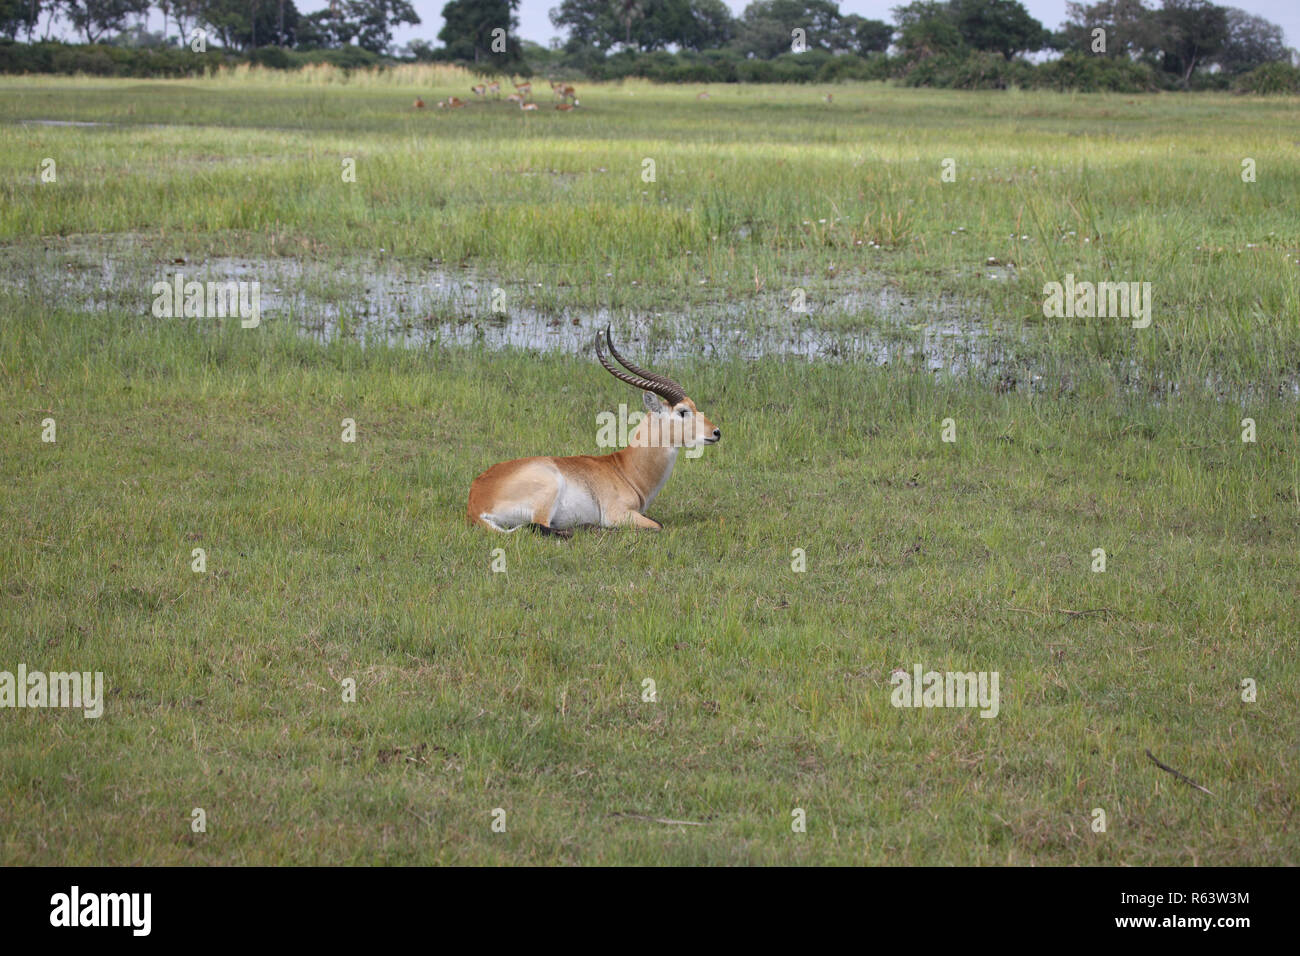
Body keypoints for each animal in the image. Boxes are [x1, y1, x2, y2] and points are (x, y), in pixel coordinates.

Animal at [467, 327, 720, 535]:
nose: (716, 432)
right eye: (683, 411)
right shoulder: (618, 514)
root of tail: (476, 502)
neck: (625, 470)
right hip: (549, 489)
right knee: (541, 527)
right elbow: (658, 525)